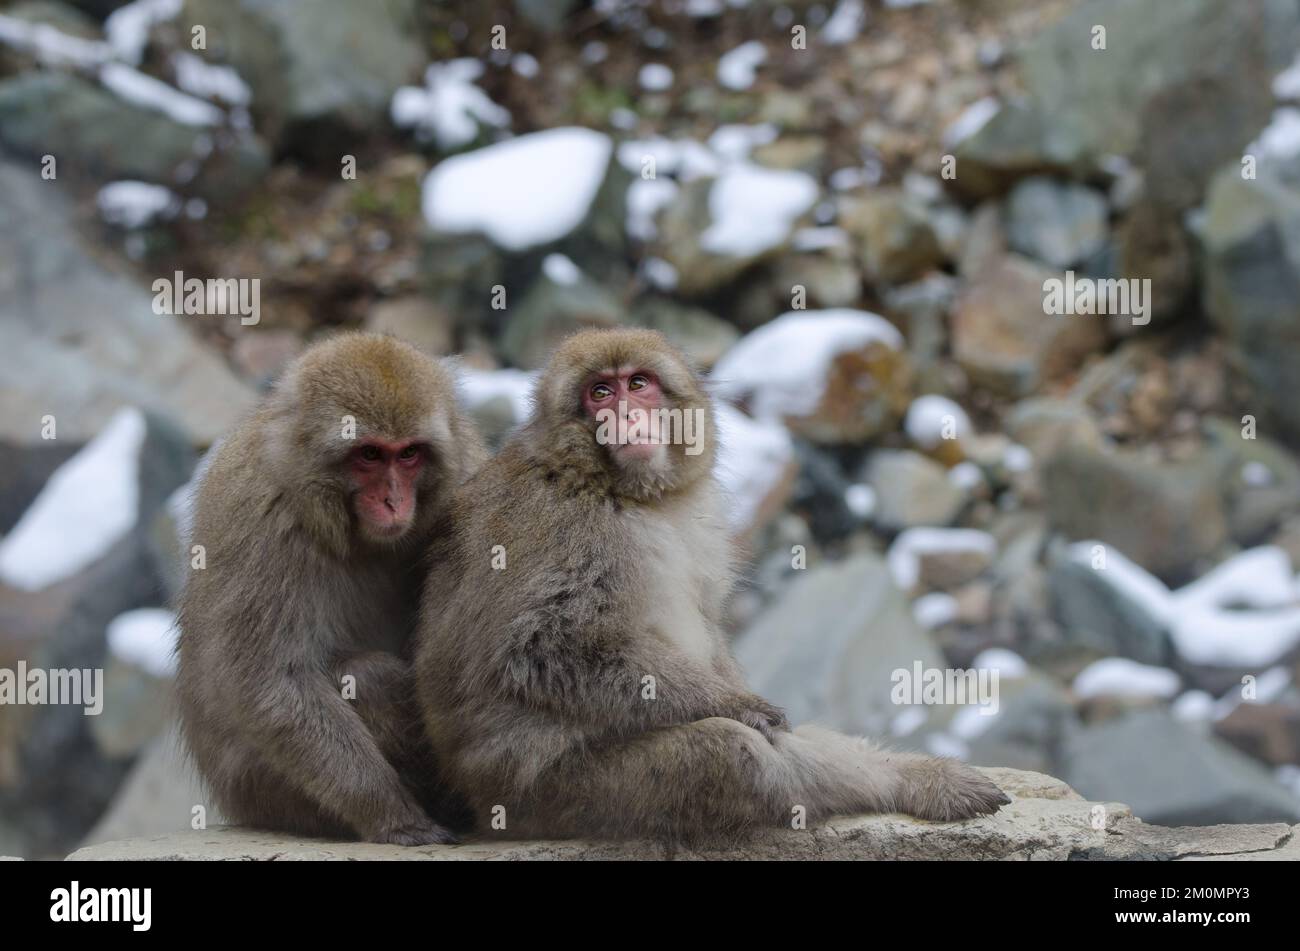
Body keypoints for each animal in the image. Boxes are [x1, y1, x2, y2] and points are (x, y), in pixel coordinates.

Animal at [176, 332, 486, 845]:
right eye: (369, 455)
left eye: (409, 454)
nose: (394, 501)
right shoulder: (263, 521)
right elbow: (274, 682)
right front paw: (390, 813)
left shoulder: (464, 477)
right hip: (266, 792)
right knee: (366, 677)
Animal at [415, 328, 1010, 842]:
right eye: (599, 392)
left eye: (638, 384)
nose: (626, 414)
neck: (625, 492)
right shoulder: (565, 526)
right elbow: (543, 647)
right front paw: (736, 704)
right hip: (558, 799)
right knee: (733, 756)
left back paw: (911, 779)